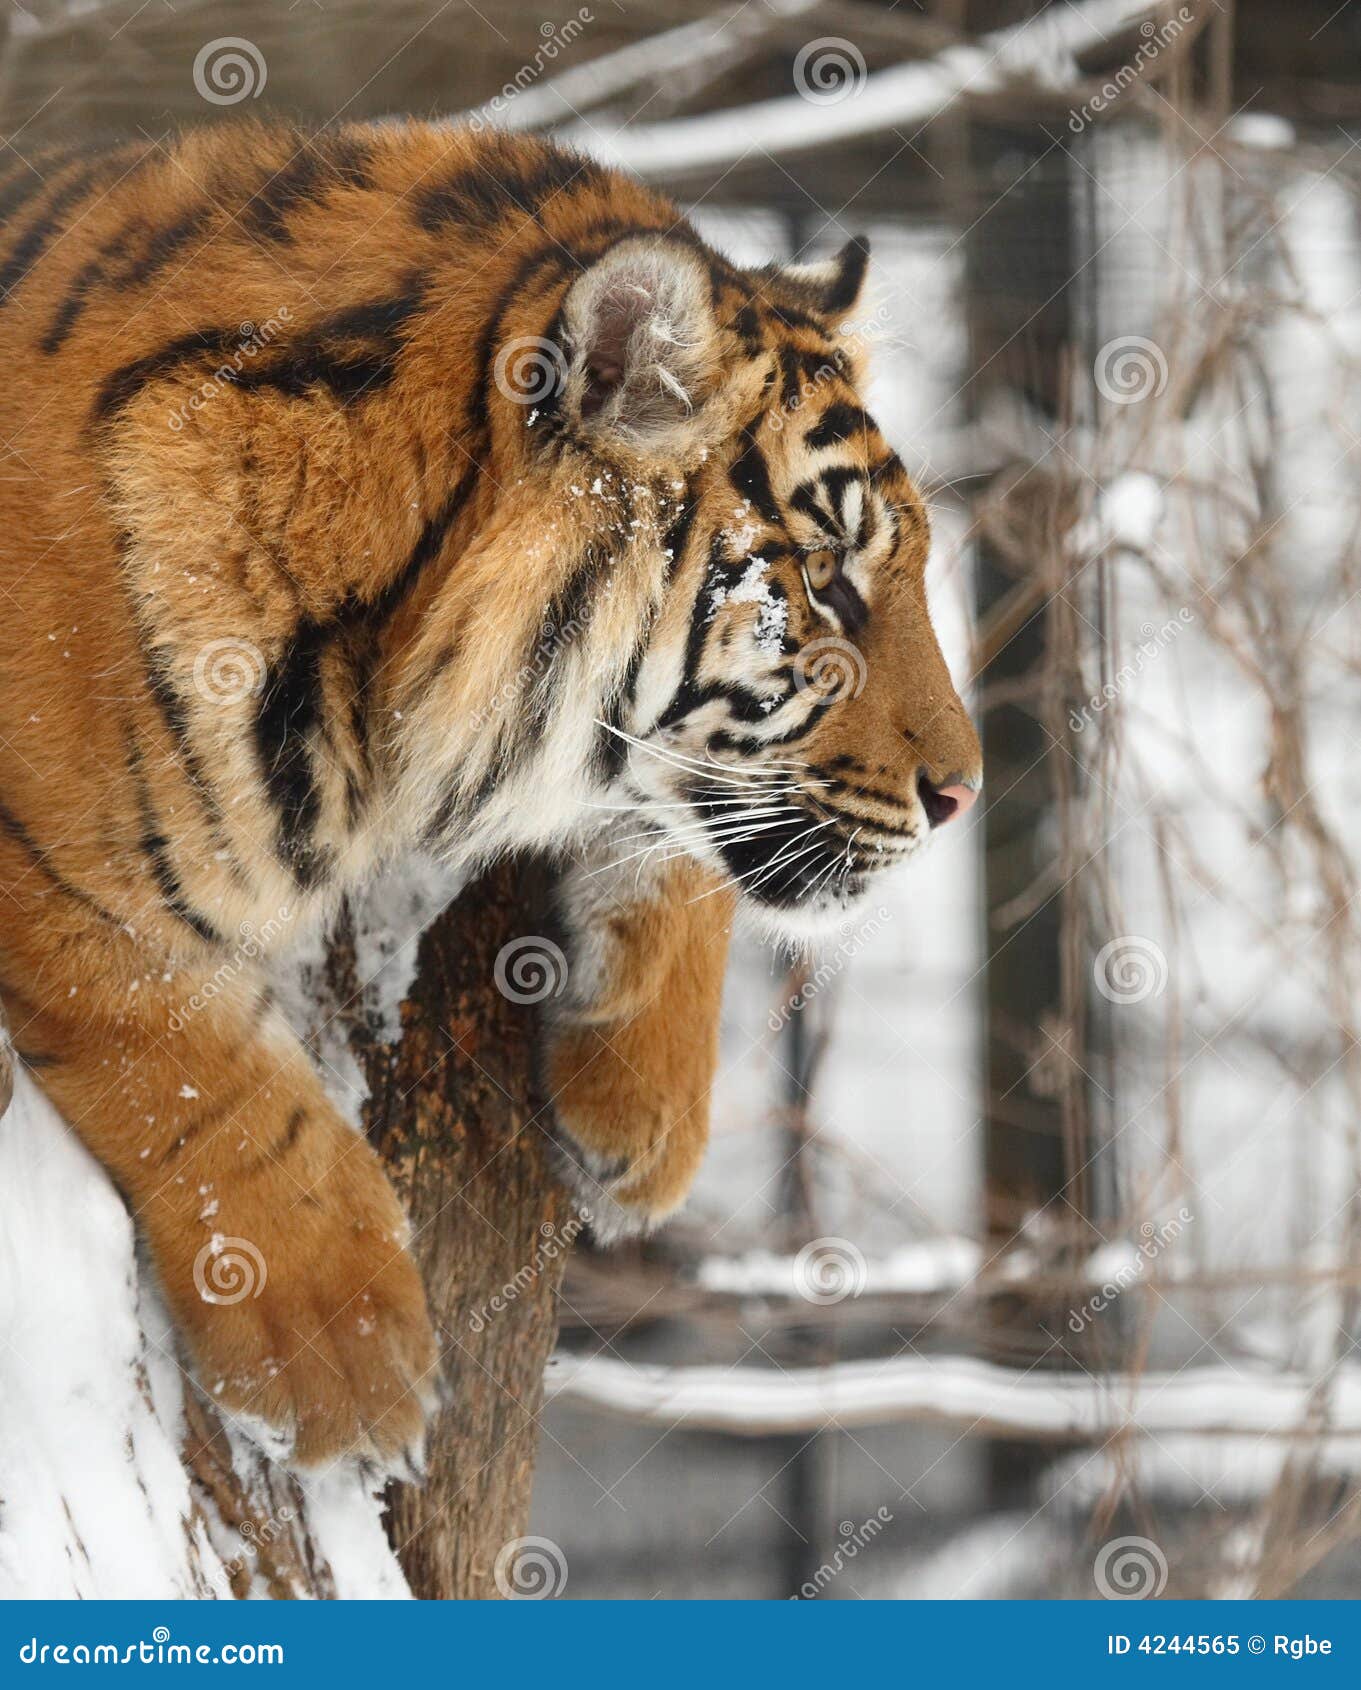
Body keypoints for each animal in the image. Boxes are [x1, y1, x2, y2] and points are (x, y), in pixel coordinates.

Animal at [0, 120, 981, 1474]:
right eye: (827, 578)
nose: (962, 789)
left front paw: (644, 1117)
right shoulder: (54, 876)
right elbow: (183, 1058)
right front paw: (341, 1356)